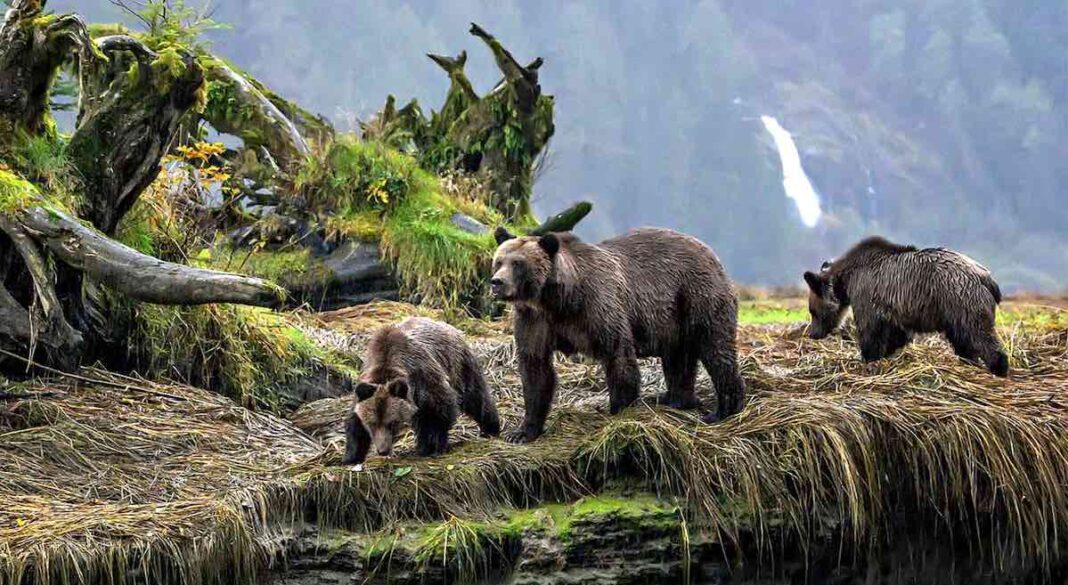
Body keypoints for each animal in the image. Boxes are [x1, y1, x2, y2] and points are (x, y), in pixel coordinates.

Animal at [341, 317, 500, 464]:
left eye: (392, 423)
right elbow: (355, 422)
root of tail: (446, 325)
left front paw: (432, 447)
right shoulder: (366, 381)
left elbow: (439, 411)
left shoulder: (424, 378)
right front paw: (351, 457)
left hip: (460, 364)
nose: (383, 450)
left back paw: (491, 428)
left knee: (476, 397)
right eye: (372, 423)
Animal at [491, 226, 745, 443]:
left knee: (716, 349)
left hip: (698, 296)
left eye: (518, 263)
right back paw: (675, 399)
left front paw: (619, 413)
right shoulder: (535, 321)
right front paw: (521, 432)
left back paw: (723, 410)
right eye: (498, 261)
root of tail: (709, 251)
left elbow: (618, 357)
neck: (558, 300)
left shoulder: (599, 307)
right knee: (678, 360)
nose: (496, 282)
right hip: (674, 321)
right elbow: (536, 370)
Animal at [803, 236, 1008, 377]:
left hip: (961, 299)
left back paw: (999, 367)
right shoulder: (893, 309)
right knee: (963, 340)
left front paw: (869, 359)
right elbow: (897, 334)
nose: (812, 333)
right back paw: (969, 362)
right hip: (953, 313)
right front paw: (888, 354)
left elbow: (870, 331)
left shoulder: (866, 294)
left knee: (979, 334)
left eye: (812, 311)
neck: (847, 279)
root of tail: (986, 277)